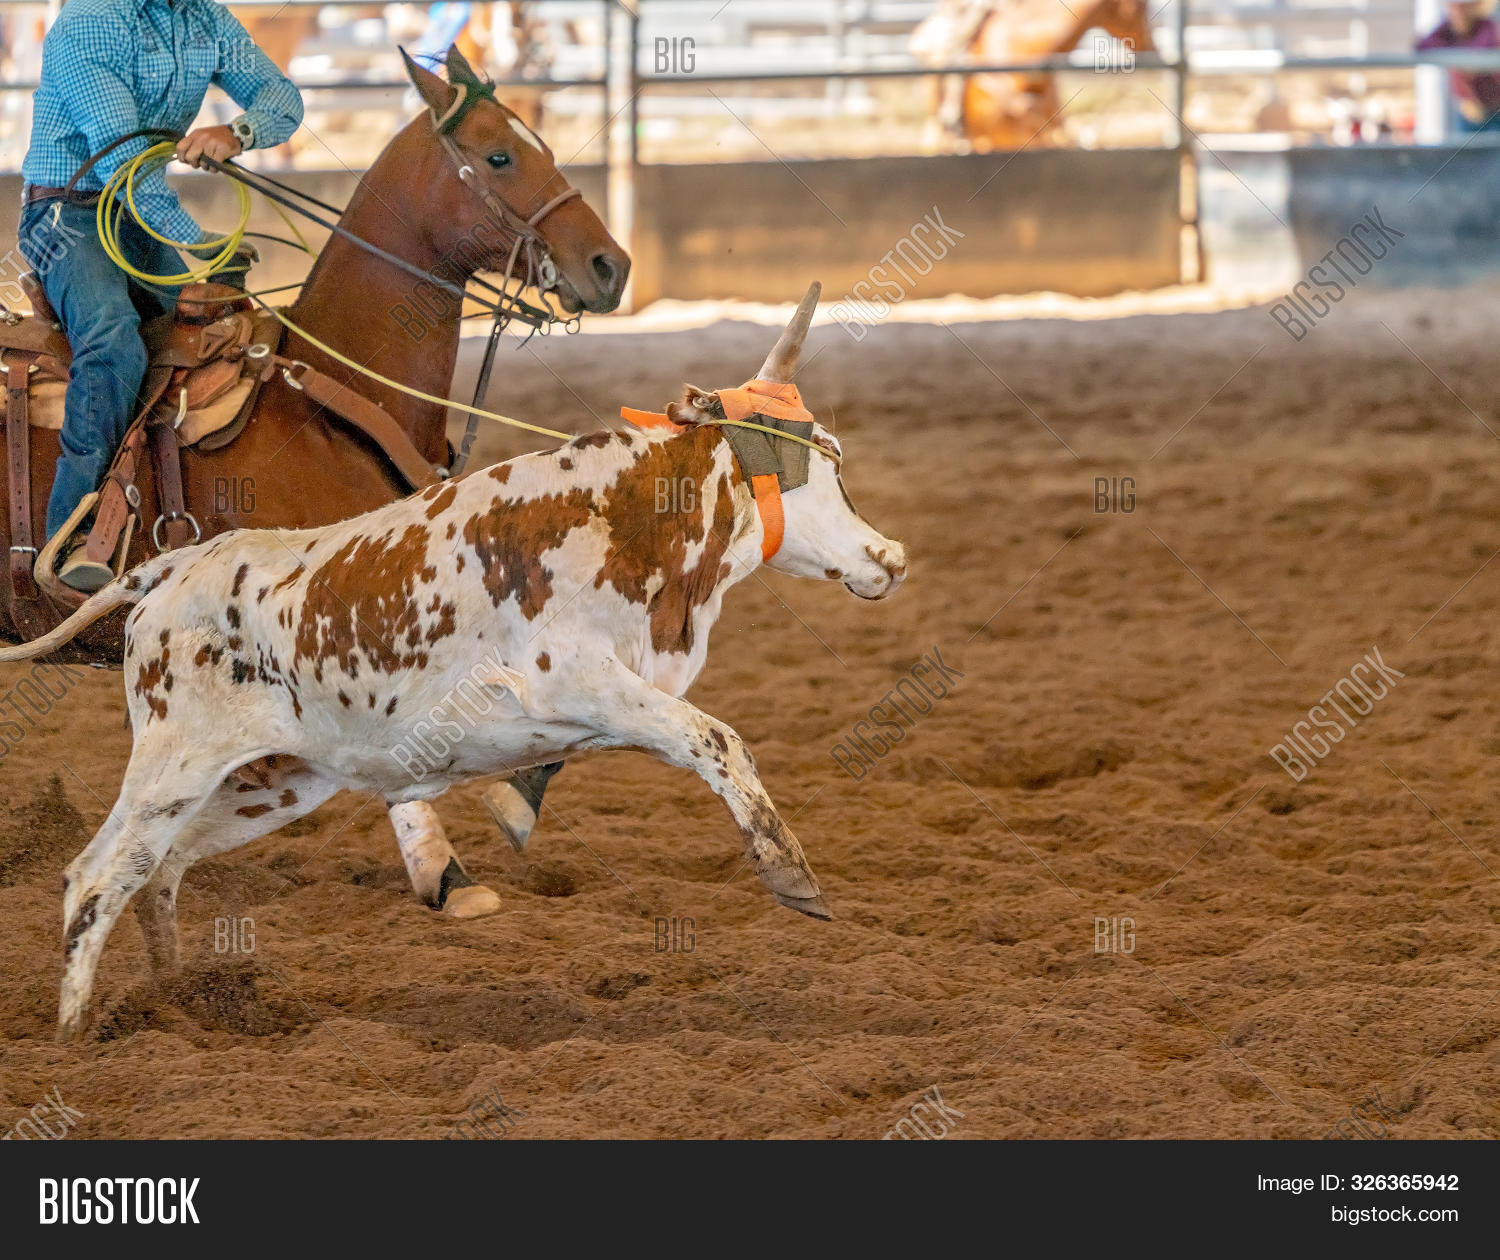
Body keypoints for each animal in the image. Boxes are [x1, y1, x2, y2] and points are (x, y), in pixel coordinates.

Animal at [0, 283, 908, 1041]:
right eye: (823, 462)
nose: (890, 557)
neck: (634, 525)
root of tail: (171, 569)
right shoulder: (579, 678)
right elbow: (716, 739)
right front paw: (791, 875)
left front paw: (510, 811)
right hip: (173, 761)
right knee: (97, 875)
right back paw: (77, 1039)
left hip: (281, 780)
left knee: (160, 869)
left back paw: (180, 1005)